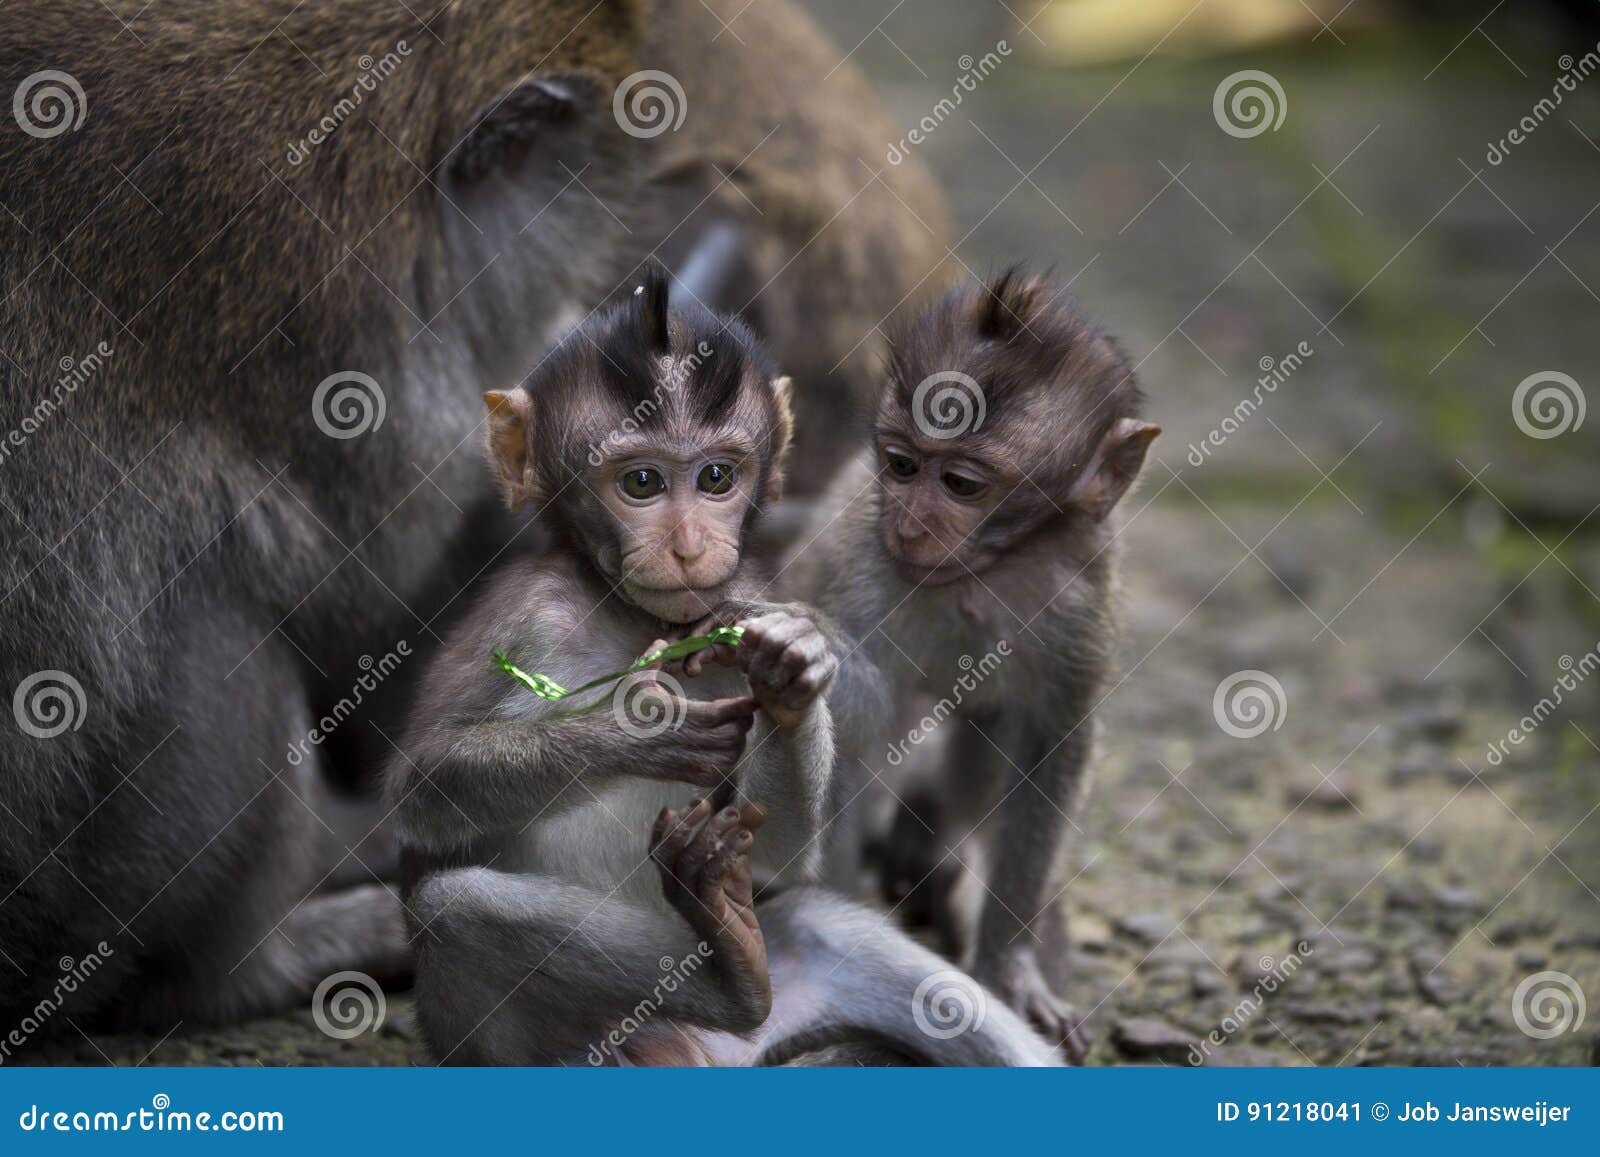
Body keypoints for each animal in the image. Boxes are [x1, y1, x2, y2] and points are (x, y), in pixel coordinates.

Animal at [389, 271, 1058, 1066]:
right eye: (641, 483)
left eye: (716, 477)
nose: (687, 546)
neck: (633, 620)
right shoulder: (524, 615)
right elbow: (421, 787)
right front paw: (633, 731)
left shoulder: (748, 593)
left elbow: (775, 855)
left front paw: (792, 668)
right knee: (450, 908)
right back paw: (733, 978)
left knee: (823, 926)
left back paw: (738, 947)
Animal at [781, 269, 1161, 1062]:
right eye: (900, 465)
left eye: (961, 482)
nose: (907, 522)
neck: (987, 570)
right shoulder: (871, 566)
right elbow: (863, 713)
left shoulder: (1082, 594)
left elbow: (1050, 740)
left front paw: (1010, 966)